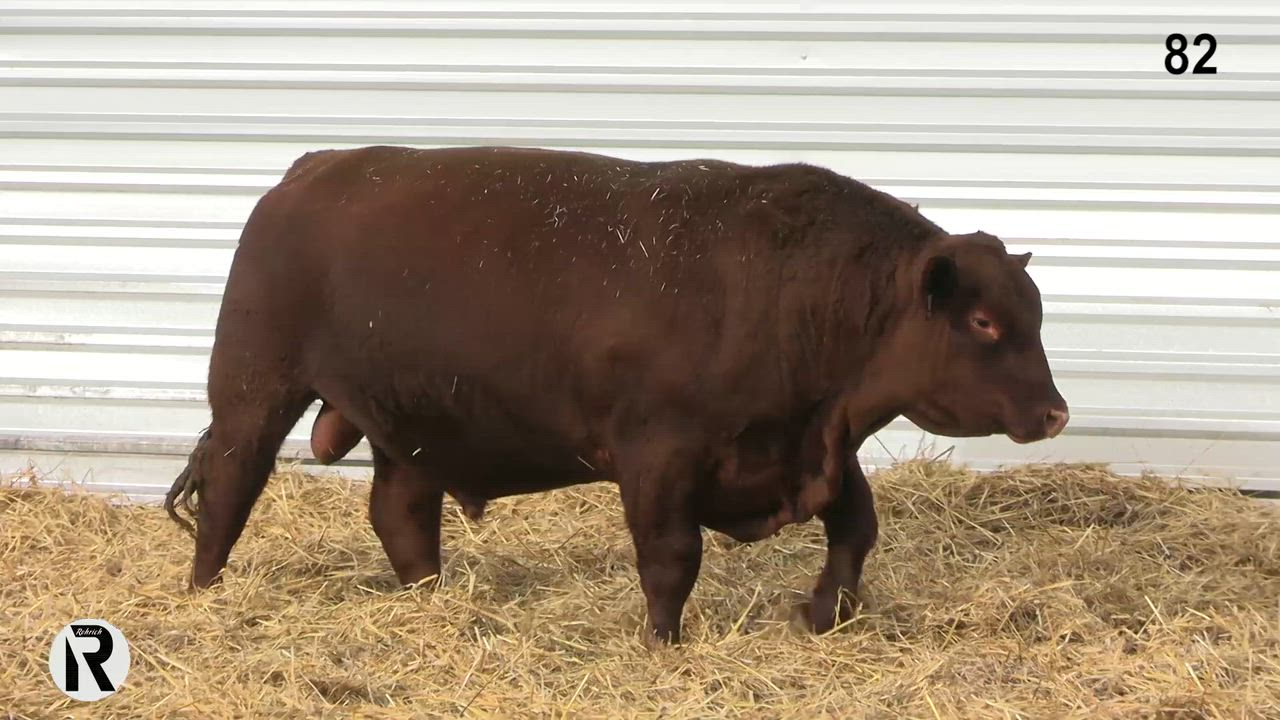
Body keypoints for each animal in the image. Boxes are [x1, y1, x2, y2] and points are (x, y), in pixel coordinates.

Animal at [164, 145, 1068, 645]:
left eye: (1031, 313)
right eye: (984, 321)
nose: (1056, 412)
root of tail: (315, 170)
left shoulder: (818, 443)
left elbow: (857, 528)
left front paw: (823, 614)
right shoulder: (660, 454)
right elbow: (670, 558)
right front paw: (663, 645)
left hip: (414, 423)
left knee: (401, 516)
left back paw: (433, 598)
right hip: (253, 387)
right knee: (230, 489)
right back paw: (203, 593)